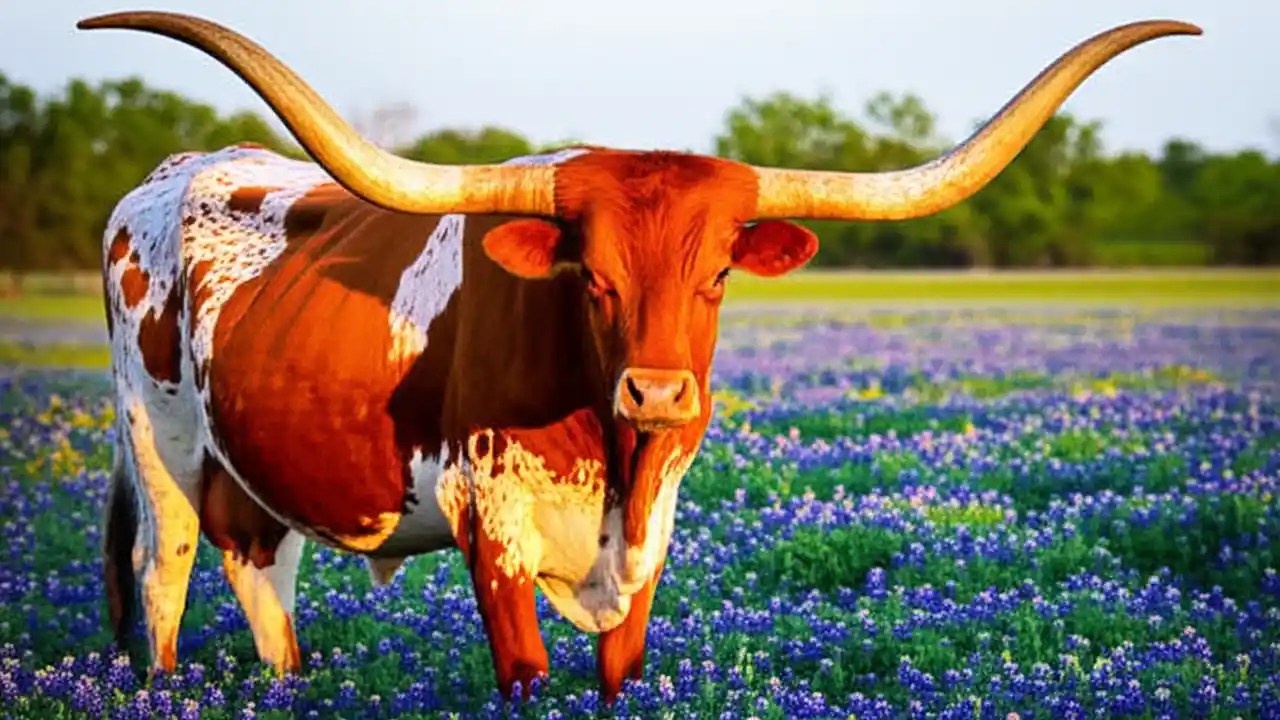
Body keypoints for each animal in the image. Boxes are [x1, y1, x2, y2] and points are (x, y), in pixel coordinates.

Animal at [79, 10, 1199, 703]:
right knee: (163, 588)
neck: (614, 456)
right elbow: (524, 673)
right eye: (593, 276)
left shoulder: (653, 536)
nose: (657, 391)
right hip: (159, 450)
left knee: (263, 585)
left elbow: (619, 673)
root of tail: (182, 167)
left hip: (258, 479)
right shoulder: (492, 530)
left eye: (718, 274)